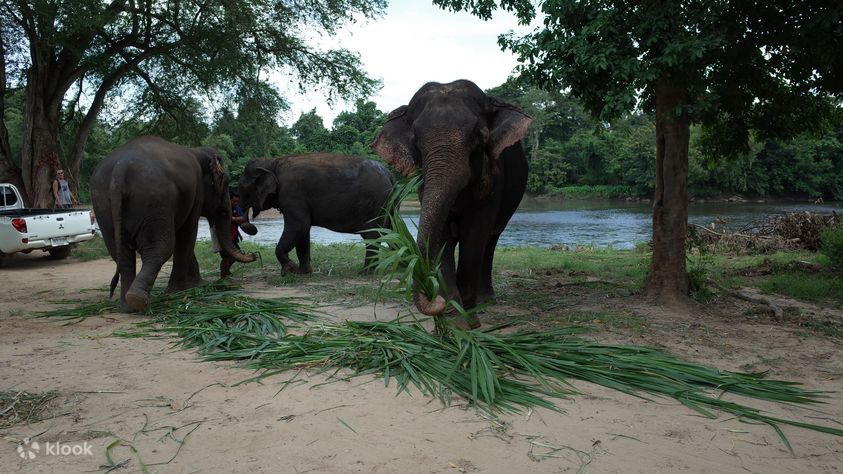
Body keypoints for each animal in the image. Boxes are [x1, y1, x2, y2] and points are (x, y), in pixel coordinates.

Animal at [90, 136, 256, 312]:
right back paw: (138, 300)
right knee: (161, 248)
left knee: (120, 253)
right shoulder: (196, 194)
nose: (253, 254)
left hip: (103, 206)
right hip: (156, 200)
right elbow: (187, 234)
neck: (196, 150)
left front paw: (196, 285)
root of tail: (120, 169)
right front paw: (183, 290)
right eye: (226, 183)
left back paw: (126, 307)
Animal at [237, 154, 395, 273]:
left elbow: (299, 226)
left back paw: (366, 272)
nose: (252, 228)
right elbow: (303, 231)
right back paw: (396, 266)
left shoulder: (291, 192)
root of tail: (389, 174)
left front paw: (289, 270)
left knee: (372, 235)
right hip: (388, 203)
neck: (273, 162)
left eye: (242, 188)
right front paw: (303, 272)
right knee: (391, 230)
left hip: (375, 202)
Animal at [372, 79, 532, 329]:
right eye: (416, 139)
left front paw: (470, 322)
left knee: (491, 241)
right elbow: (442, 236)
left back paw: (487, 301)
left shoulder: (493, 180)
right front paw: (453, 318)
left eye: (479, 135)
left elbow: (474, 236)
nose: (434, 299)